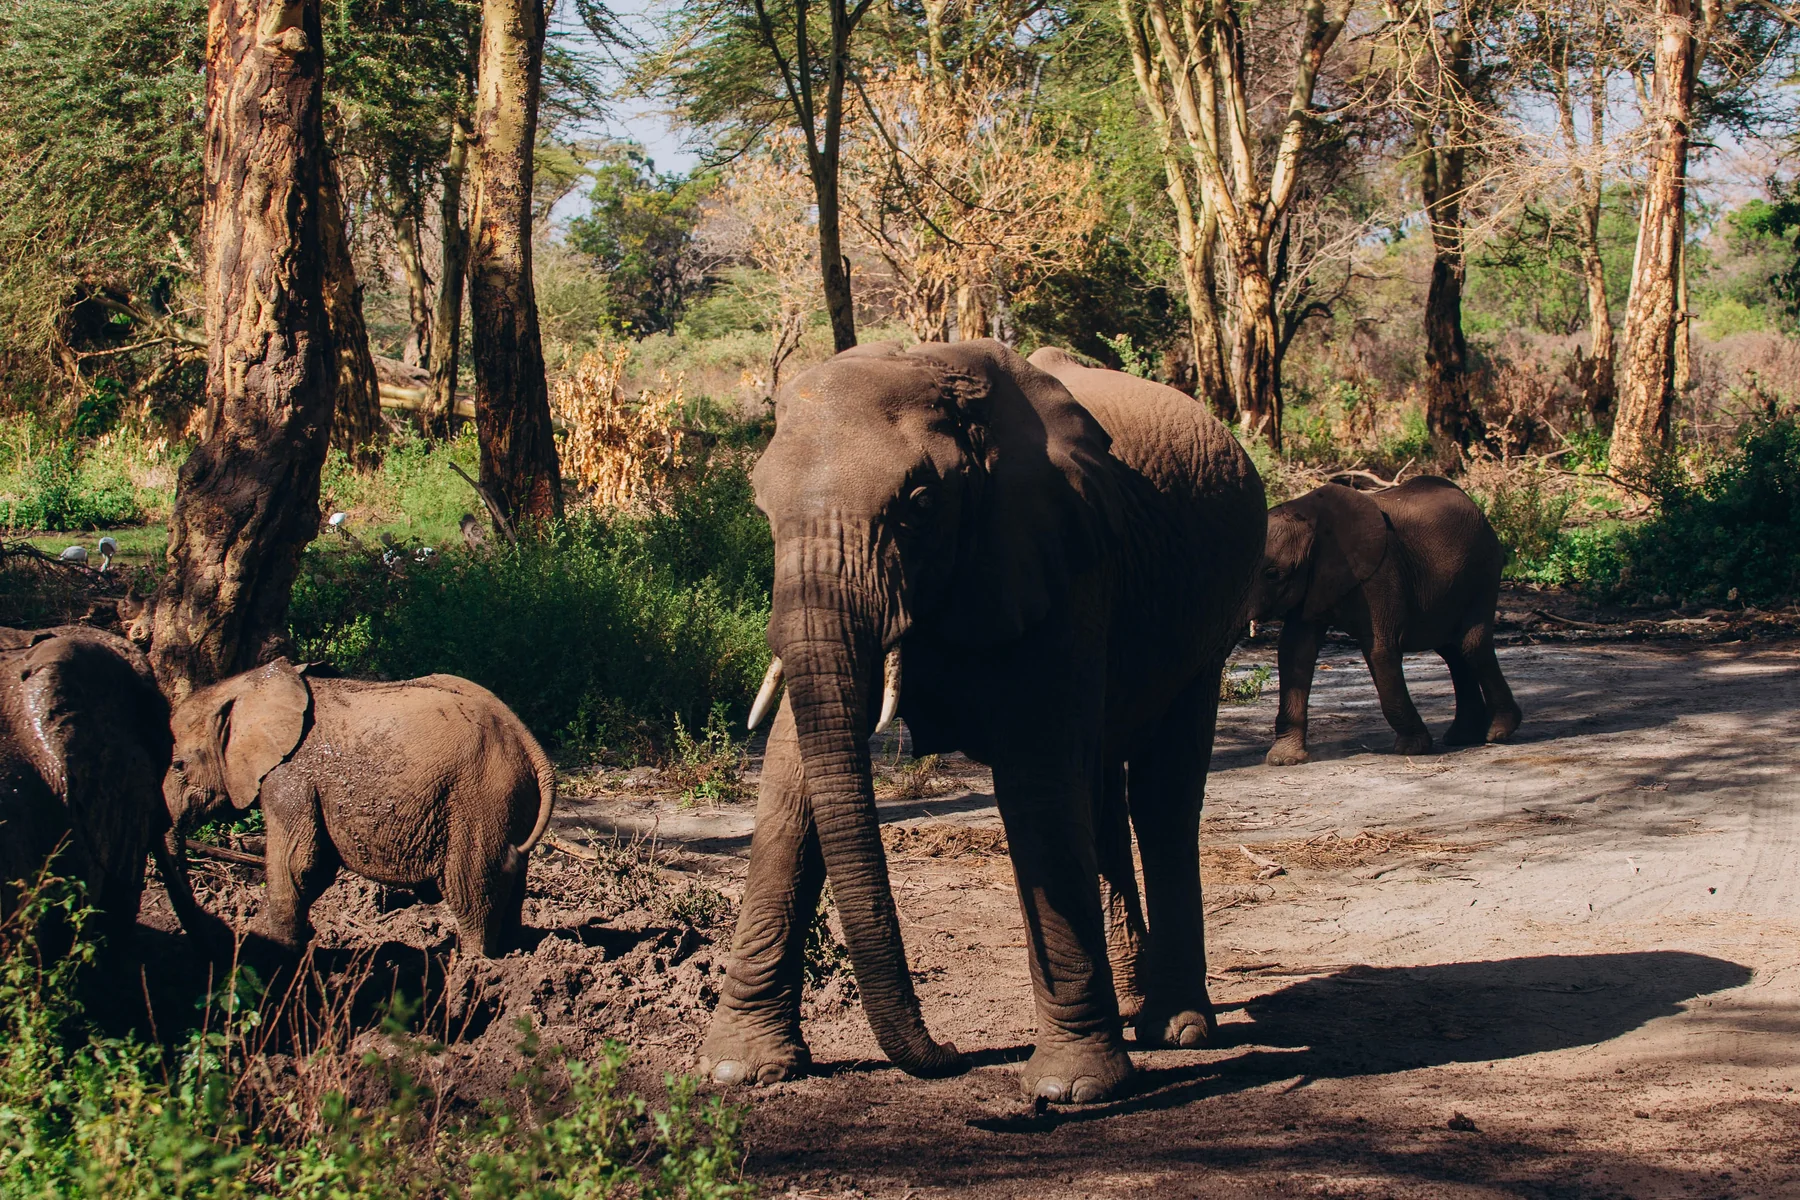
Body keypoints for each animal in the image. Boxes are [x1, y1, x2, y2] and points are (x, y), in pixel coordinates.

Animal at [163, 660, 556, 957]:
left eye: (179, 765)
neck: (252, 686)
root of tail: (528, 740)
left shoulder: (289, 778)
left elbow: (297, 863)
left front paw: (273, 951)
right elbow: (314, 867)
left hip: (480, 798)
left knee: (469, 888)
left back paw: (473, 963)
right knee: (509, 878)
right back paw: (510, 955)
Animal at [698, 340, 1265, 1105]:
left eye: (919, 506)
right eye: (762, 509)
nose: (951, 1052)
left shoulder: (1061, 553)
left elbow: (1036, 783)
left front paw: (1072, 1090)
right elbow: (791, 789)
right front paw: (738, 1069)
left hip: (1208, 622)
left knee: (1162, 798)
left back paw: (1176, 1029)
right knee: (1099, 789)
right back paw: (1130, 1006)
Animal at [1247, 476, 1522, 766]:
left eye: (1273, 574)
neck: (1309, 515)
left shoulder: (1380, 573)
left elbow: (1380, 648)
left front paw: (1413, 748)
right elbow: (1295, 651)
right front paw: (1284, 760)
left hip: (1483, 569)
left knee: (1471, 644)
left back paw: (1499, 731)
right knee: (1452, 652)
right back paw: (1462, 737)